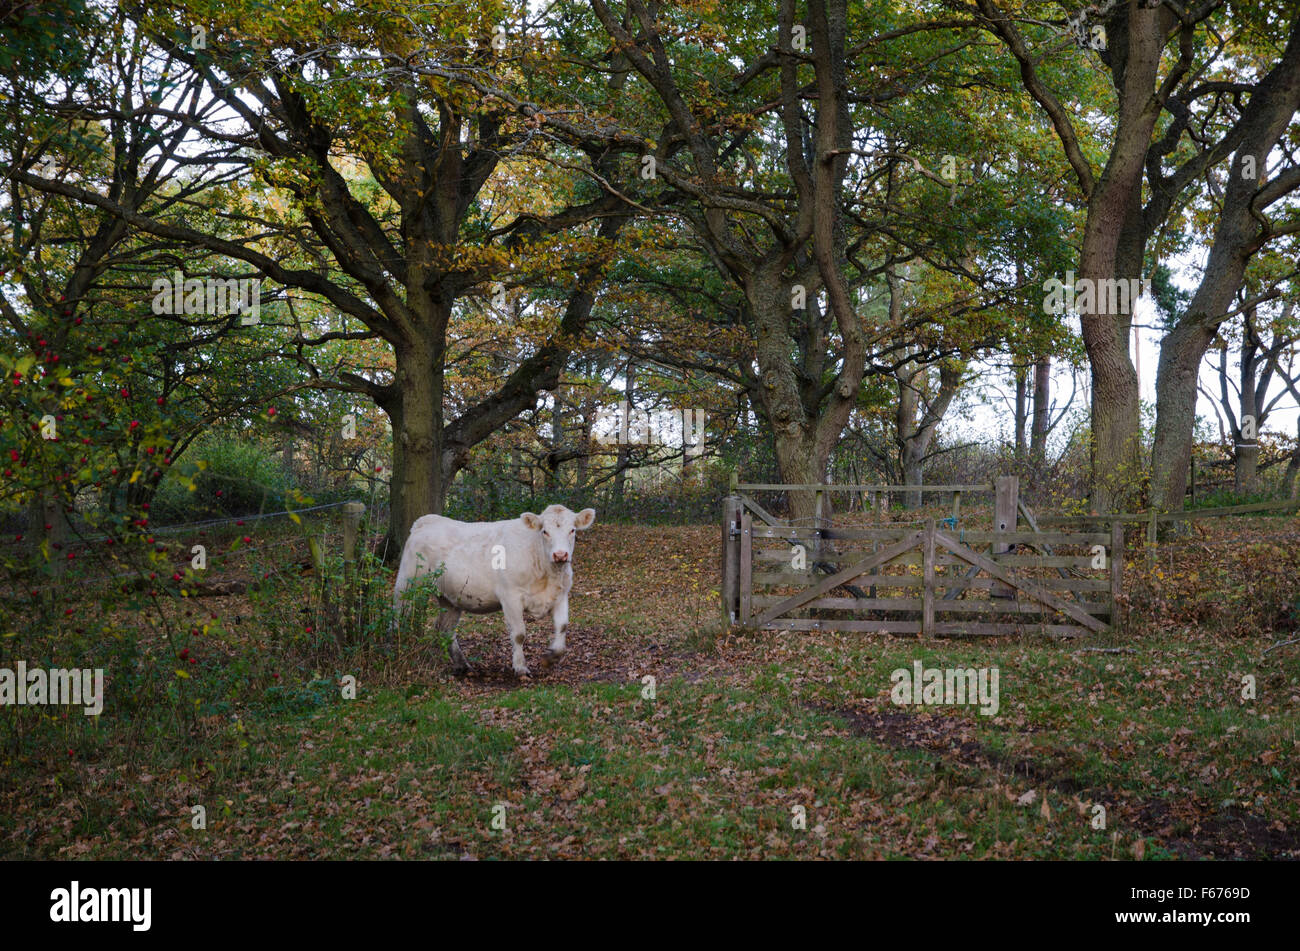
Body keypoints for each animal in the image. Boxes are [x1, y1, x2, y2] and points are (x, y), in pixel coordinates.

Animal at [392, 504, 597, 676]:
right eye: (544, 531)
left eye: (572, 530)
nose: (560, 555)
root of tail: (426, 521)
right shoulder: (510, 597)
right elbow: (519, 634)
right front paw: (521, 668)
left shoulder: (561, 595)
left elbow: (562, 626)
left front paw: (550, 658)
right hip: (408, 583)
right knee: (398, 618)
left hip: (450, 598)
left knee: (445, 629)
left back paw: (462, 665)